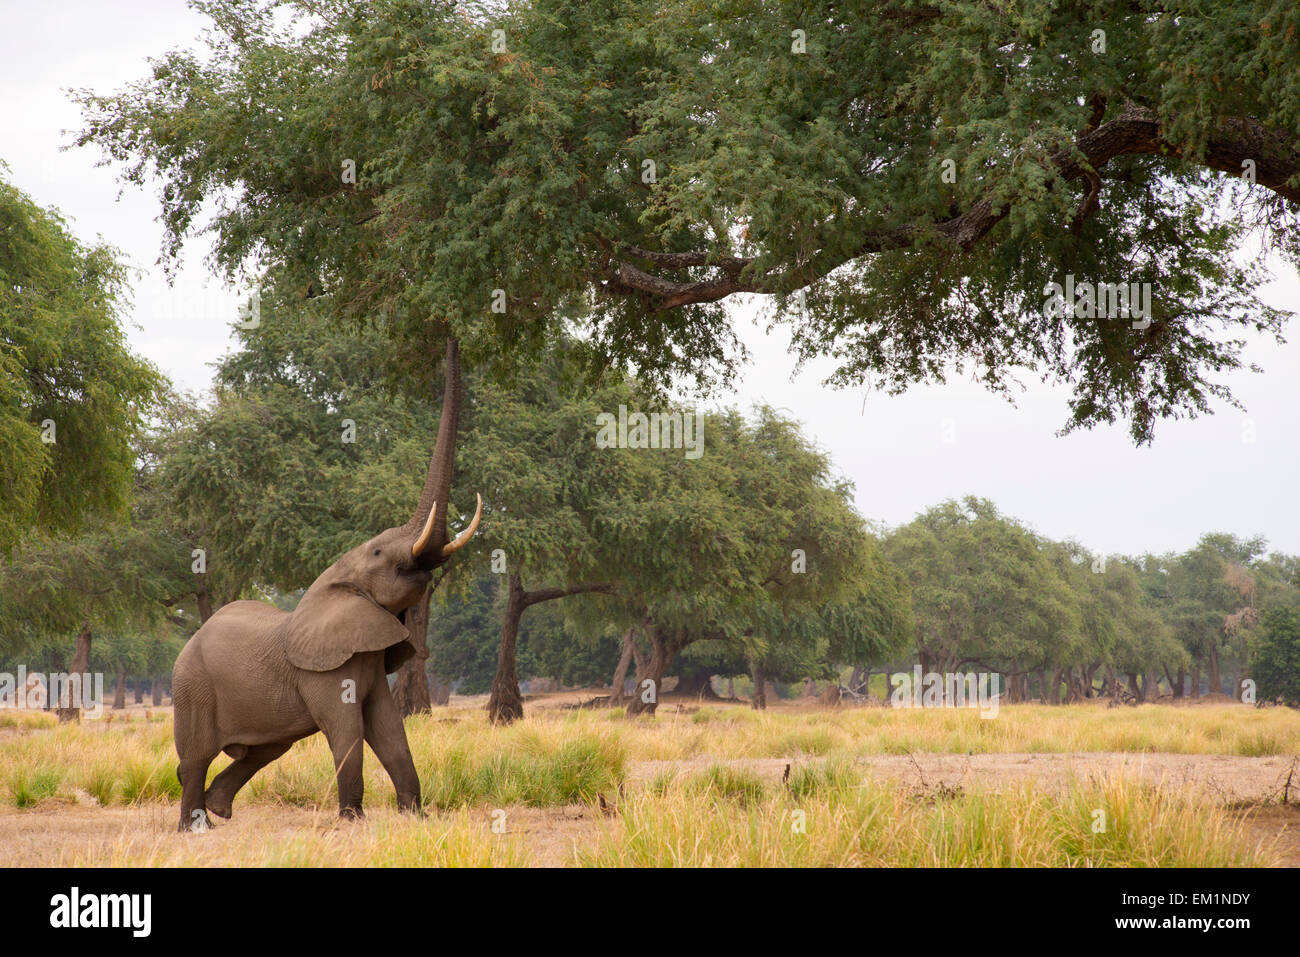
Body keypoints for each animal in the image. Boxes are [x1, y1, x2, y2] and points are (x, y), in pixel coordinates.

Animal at [171, 340, 481, 832]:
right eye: (379, 553)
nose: (449, 335)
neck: (339, 579)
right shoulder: (329, 668)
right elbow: (348, 730)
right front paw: (353, 820)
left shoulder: (370, 657)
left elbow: (390, 730)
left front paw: (416, 816)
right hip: (192, 687)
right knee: (197, 756)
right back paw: (195, 828)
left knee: (263, 749)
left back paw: (218, 812)